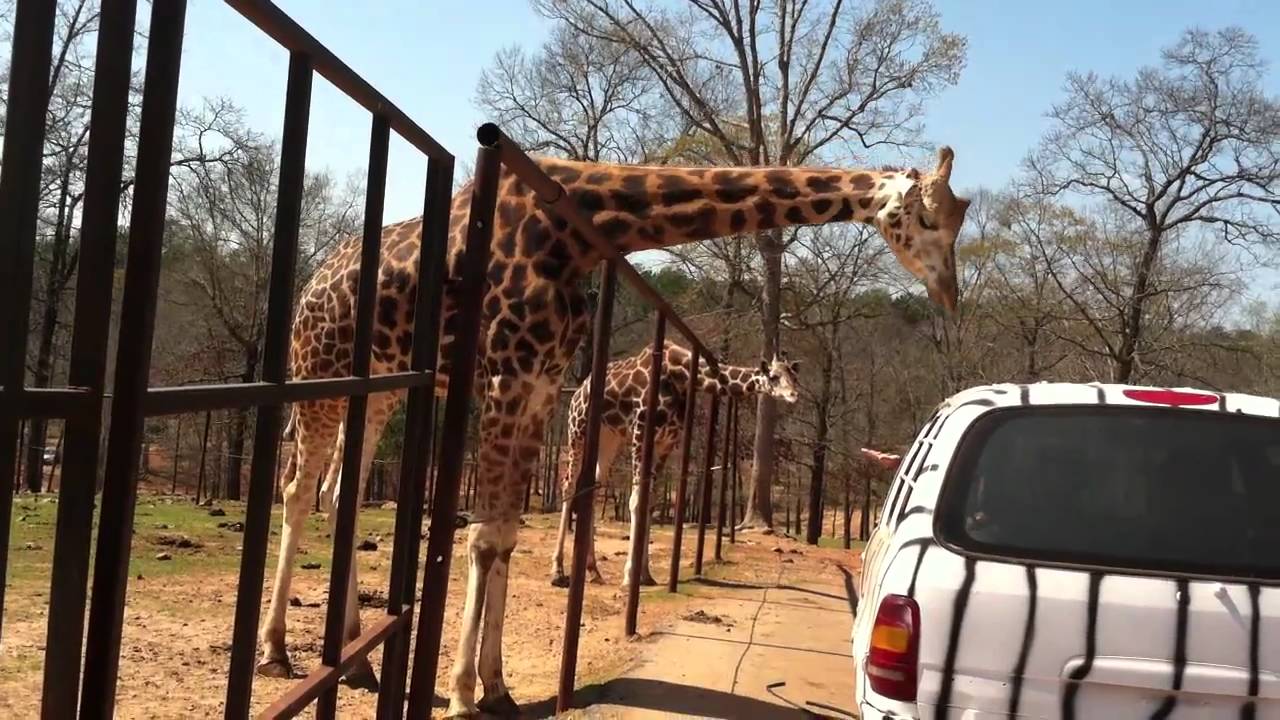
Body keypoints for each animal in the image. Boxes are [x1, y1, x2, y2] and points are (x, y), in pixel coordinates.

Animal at [549, 341, 799, 589]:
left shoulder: (666, 442)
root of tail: (578, 391)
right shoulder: (641, 432)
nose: (794, 395)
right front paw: (629, 577)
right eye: (774, 376)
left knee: (592, 488)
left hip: (609, 437)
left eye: (794, 376)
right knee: (568, 484)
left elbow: (650, 502)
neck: (683, 376)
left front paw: (645, 574)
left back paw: (593, 570)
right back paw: (558, 571)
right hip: (577, 430)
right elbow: (636, 501)